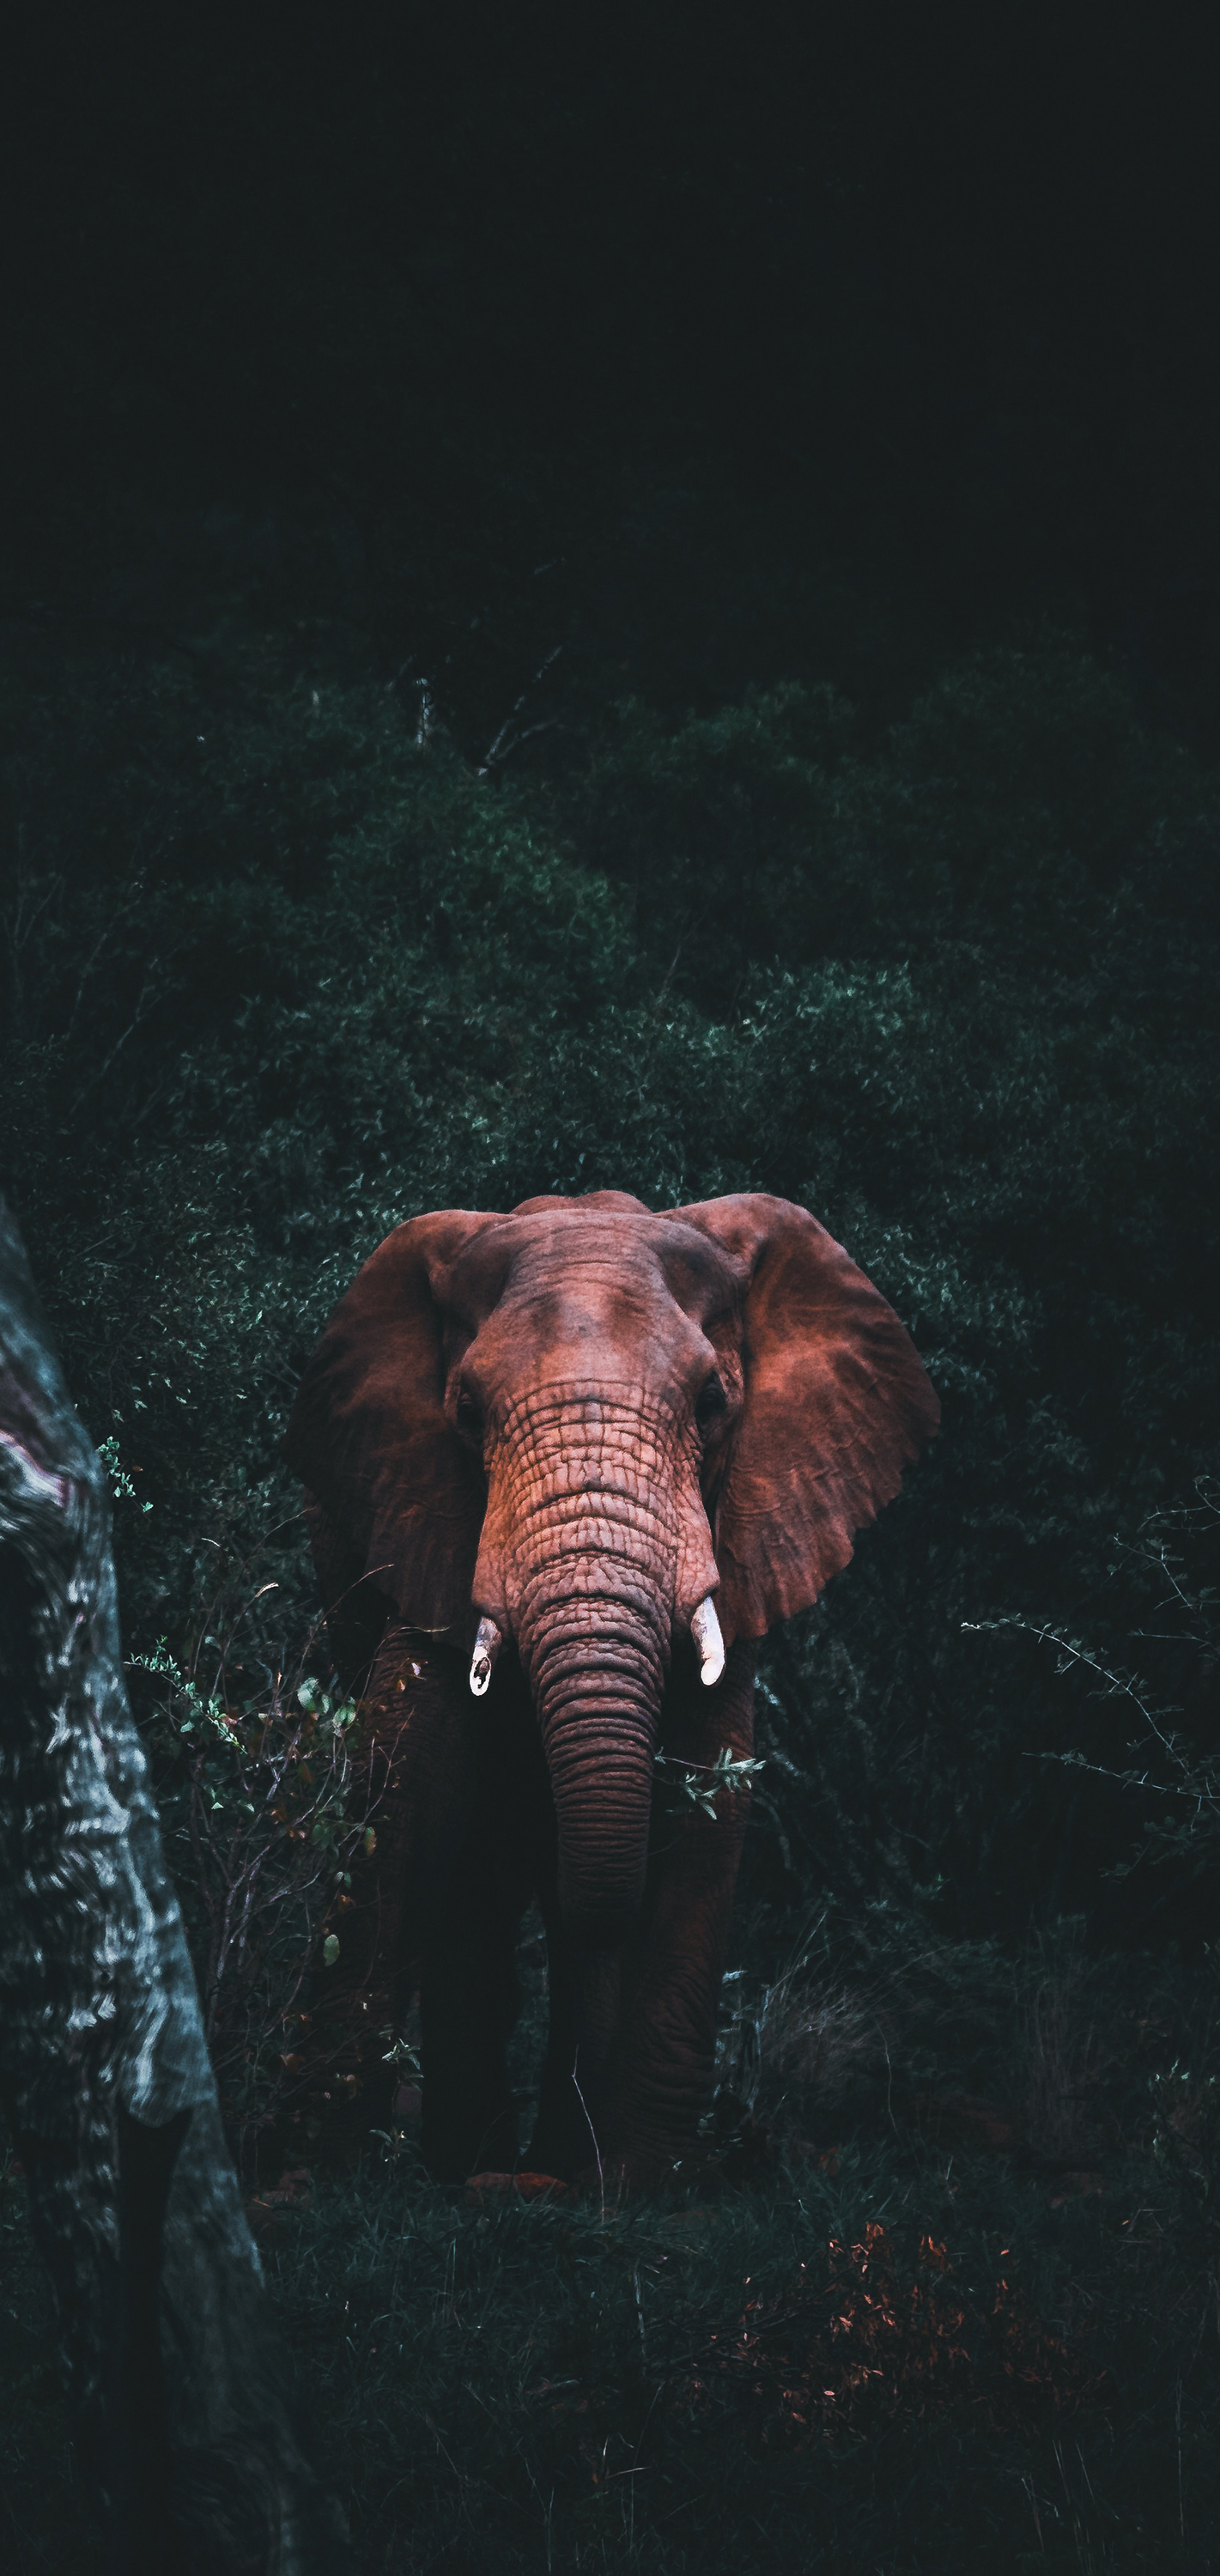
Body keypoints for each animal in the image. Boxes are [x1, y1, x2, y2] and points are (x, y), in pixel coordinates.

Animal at [283, 1189, 938, 2187]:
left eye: (711, 1404)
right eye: (465, 1409)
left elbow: (707, 1792)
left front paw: (647, 2182)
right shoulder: (420, 1516)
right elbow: (407, 1785)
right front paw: (315, 2167)